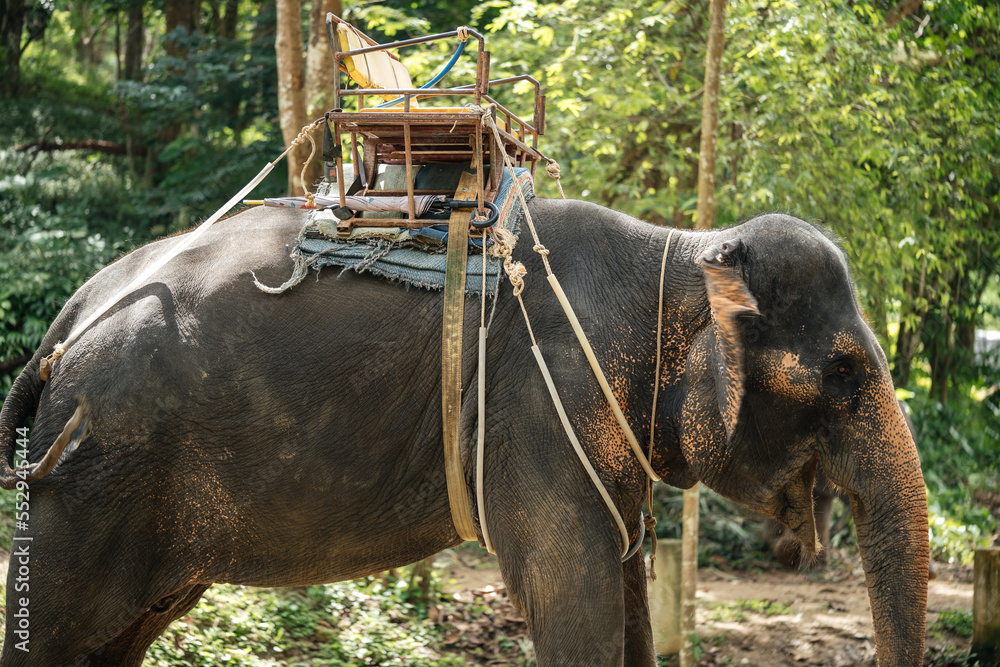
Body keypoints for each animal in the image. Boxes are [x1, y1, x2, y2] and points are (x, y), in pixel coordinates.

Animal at [0, 203, 929, 666]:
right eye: (845, 373)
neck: (679, 249)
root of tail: (64, 326)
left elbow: (627, 599)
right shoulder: (541, 403)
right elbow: (573, 601)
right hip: (87, 478)